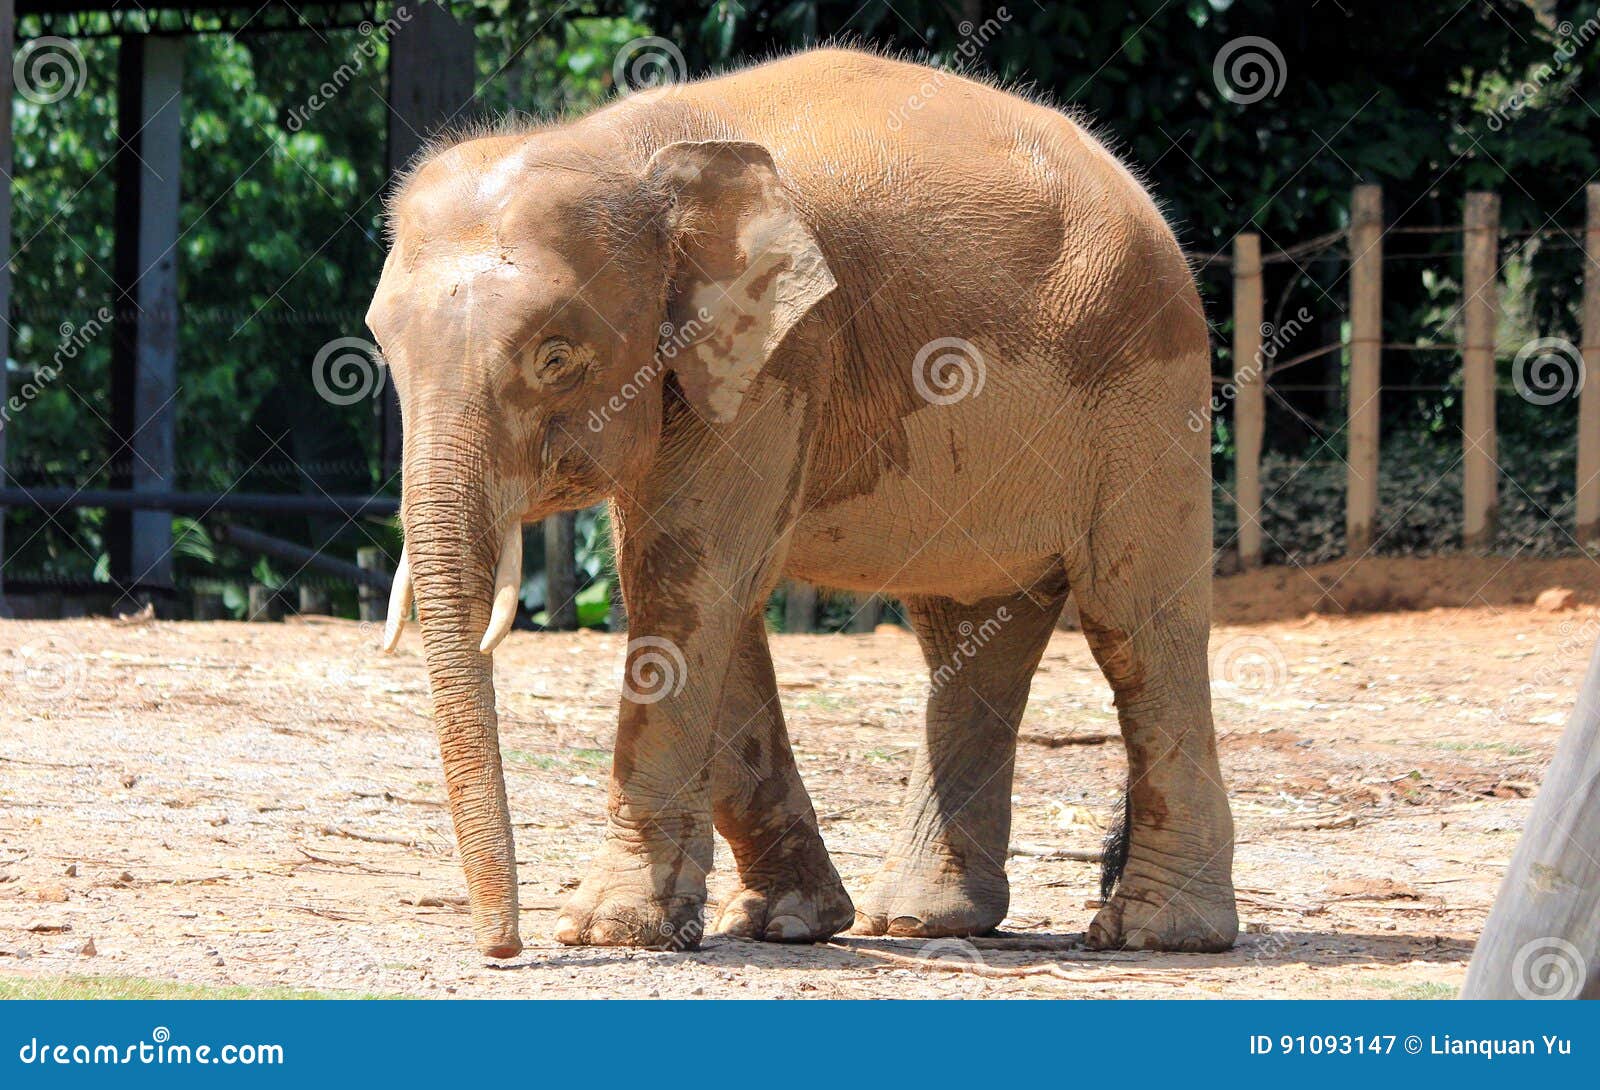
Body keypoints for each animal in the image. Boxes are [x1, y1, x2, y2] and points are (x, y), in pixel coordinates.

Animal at [367, 46, 1237, 959]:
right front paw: (779, 924)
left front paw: (607, 932)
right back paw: (923, 919)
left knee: (1136, 619)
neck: (622, 151)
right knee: (970, 632)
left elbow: (689, 581)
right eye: (384, 349)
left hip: (1147, 382)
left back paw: (1157, 933)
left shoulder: (785, 350)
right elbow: (708, 595)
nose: (502, 948)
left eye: (556, 356)